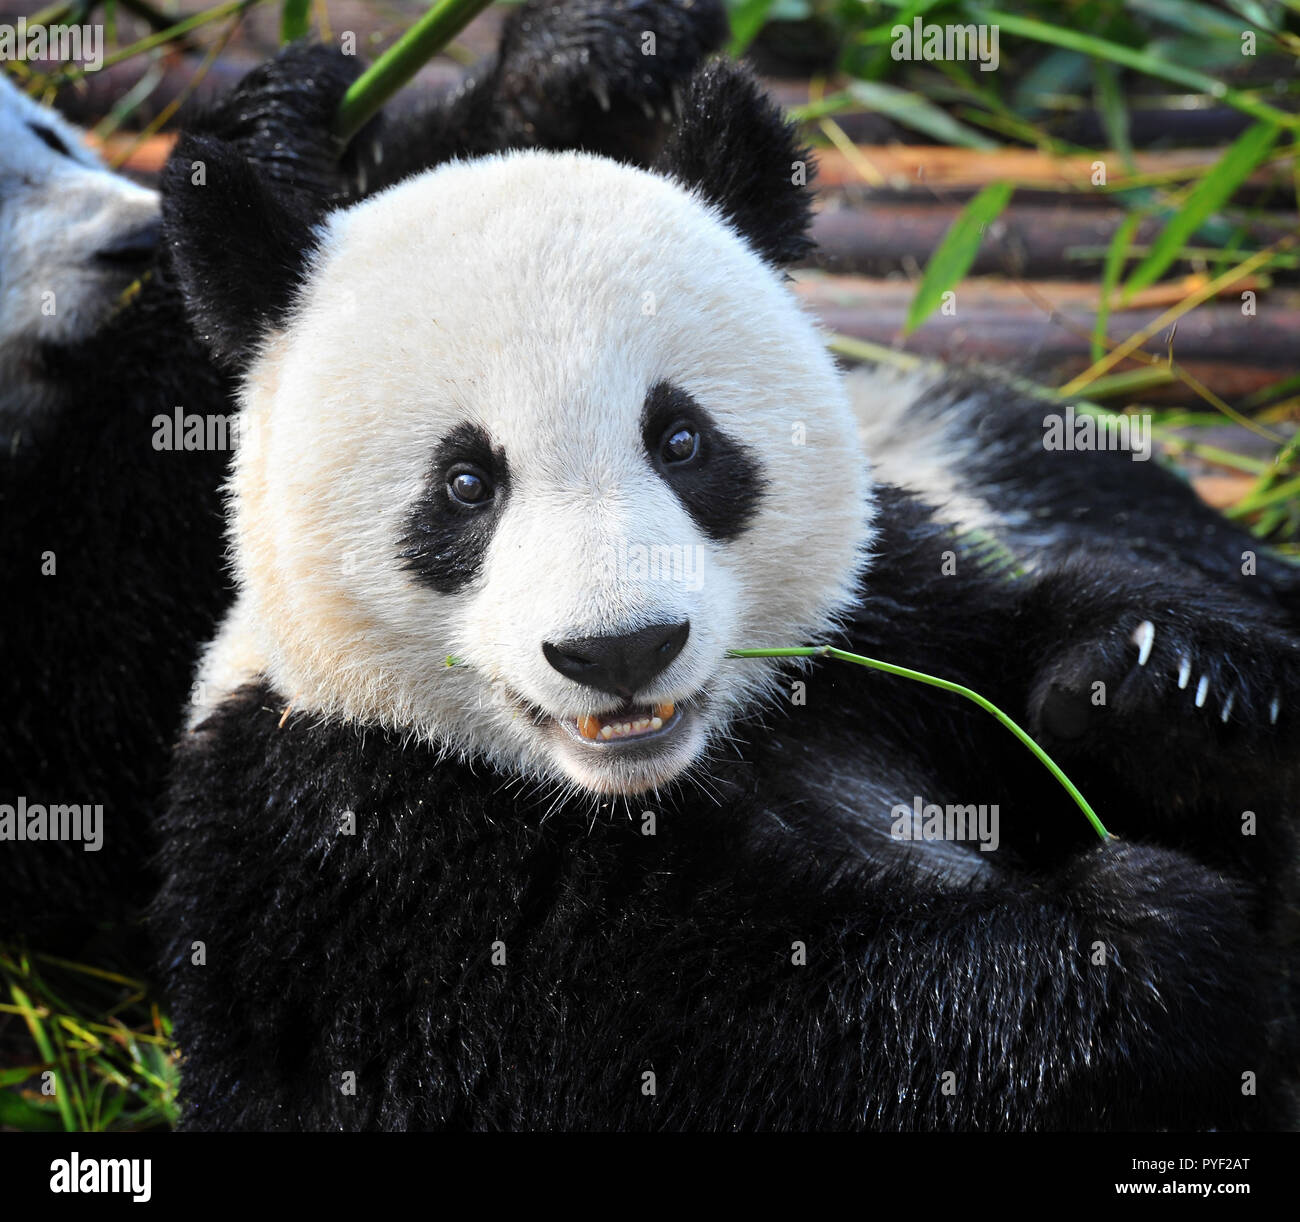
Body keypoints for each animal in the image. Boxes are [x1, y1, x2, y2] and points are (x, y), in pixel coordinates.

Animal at [152, 57, 1300, 1129]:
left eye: (682, 440)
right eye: (466, 483)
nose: (620, 651)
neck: (655, 777)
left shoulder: (879, 637)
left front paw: (1167, 686)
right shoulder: (349, 862)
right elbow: (717, 1037)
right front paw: (1135, 937)